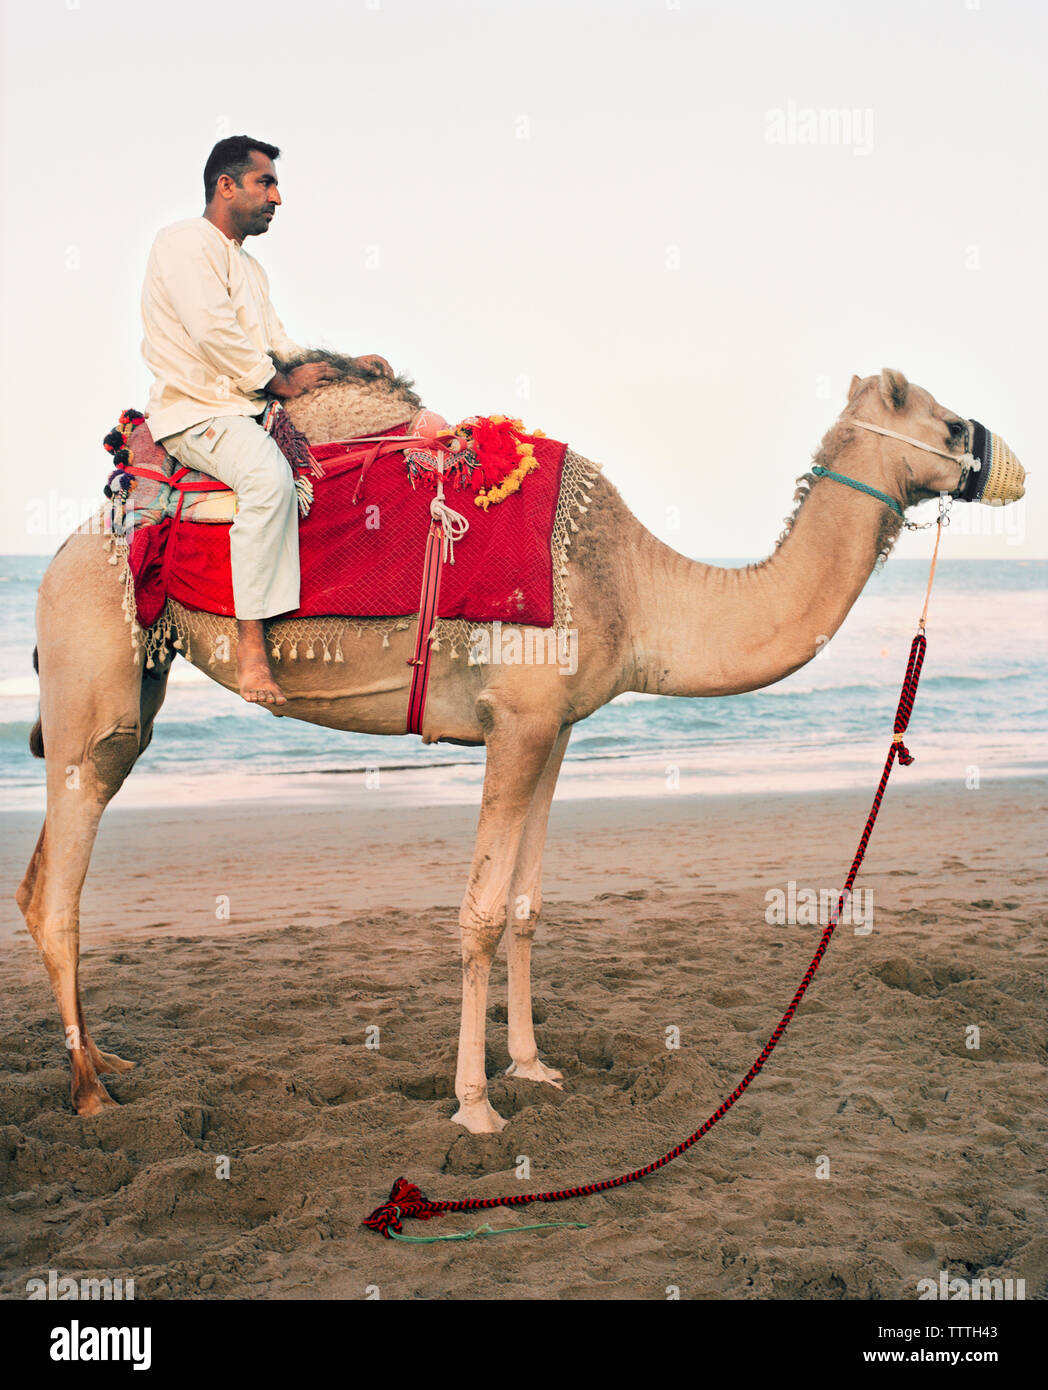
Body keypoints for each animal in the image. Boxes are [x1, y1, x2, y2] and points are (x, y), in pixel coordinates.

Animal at [15, 367, 1018, 1134]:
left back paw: (111, 1061)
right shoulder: (521, 721)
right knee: (60, 891)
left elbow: (530, 905)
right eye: (948, 422)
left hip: (132, 691)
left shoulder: (556, 727)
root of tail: (66, 547)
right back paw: (92, 1094)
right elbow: (482, 914)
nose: (1003, 463)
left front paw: (531, 1067)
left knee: (39, 879)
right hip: (93, 663)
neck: (636, 588)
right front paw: (473, 1105)